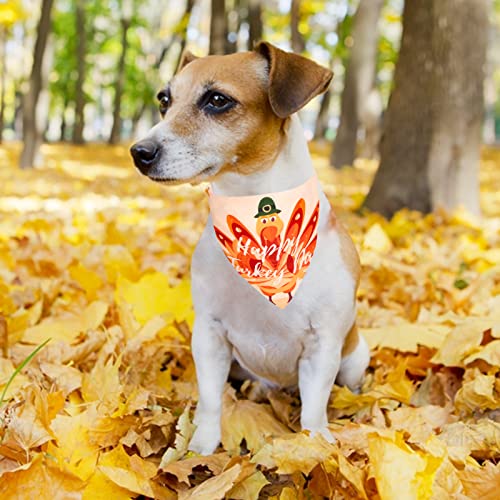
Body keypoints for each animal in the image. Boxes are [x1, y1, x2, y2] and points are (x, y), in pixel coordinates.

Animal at [130, 42, 372, 458]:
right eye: (164, 100)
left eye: (217, 100)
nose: (139, 152)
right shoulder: (209, 336)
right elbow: (211, 402)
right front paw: (200, 447)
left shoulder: (323, 345)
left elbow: (314, 409)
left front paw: (316, 446)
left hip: (355, 356)